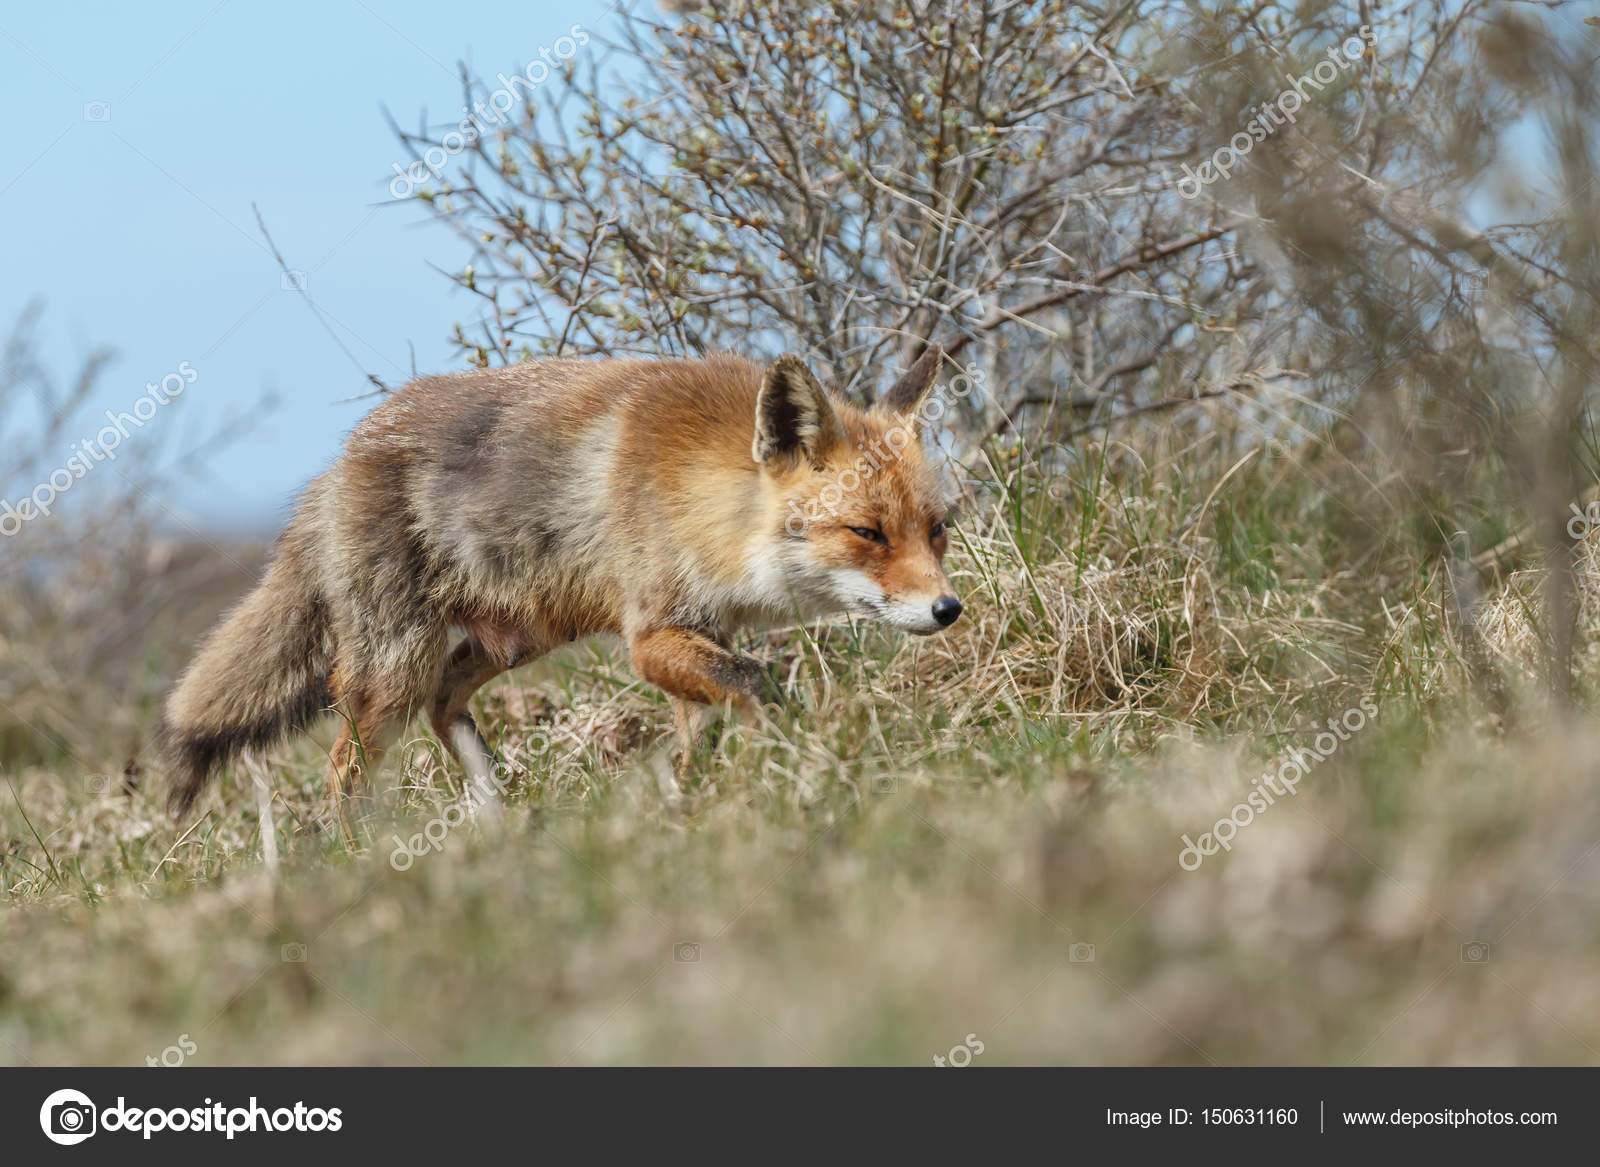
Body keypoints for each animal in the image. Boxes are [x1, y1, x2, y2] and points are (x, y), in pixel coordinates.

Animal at [158, 342, 962, 815]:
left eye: (937, 529)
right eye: (867, 533)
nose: (948, 609)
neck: (704, 496)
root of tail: (337, 462)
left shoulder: (700, 632)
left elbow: (699, 734)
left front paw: (695, 800)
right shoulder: (652, 638)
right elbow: (760, 687)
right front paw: (803, 755)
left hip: (516, 639)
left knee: (446, 705)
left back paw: (496, 818)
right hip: (394, 672)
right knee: (345, 771)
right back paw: (356, 855)